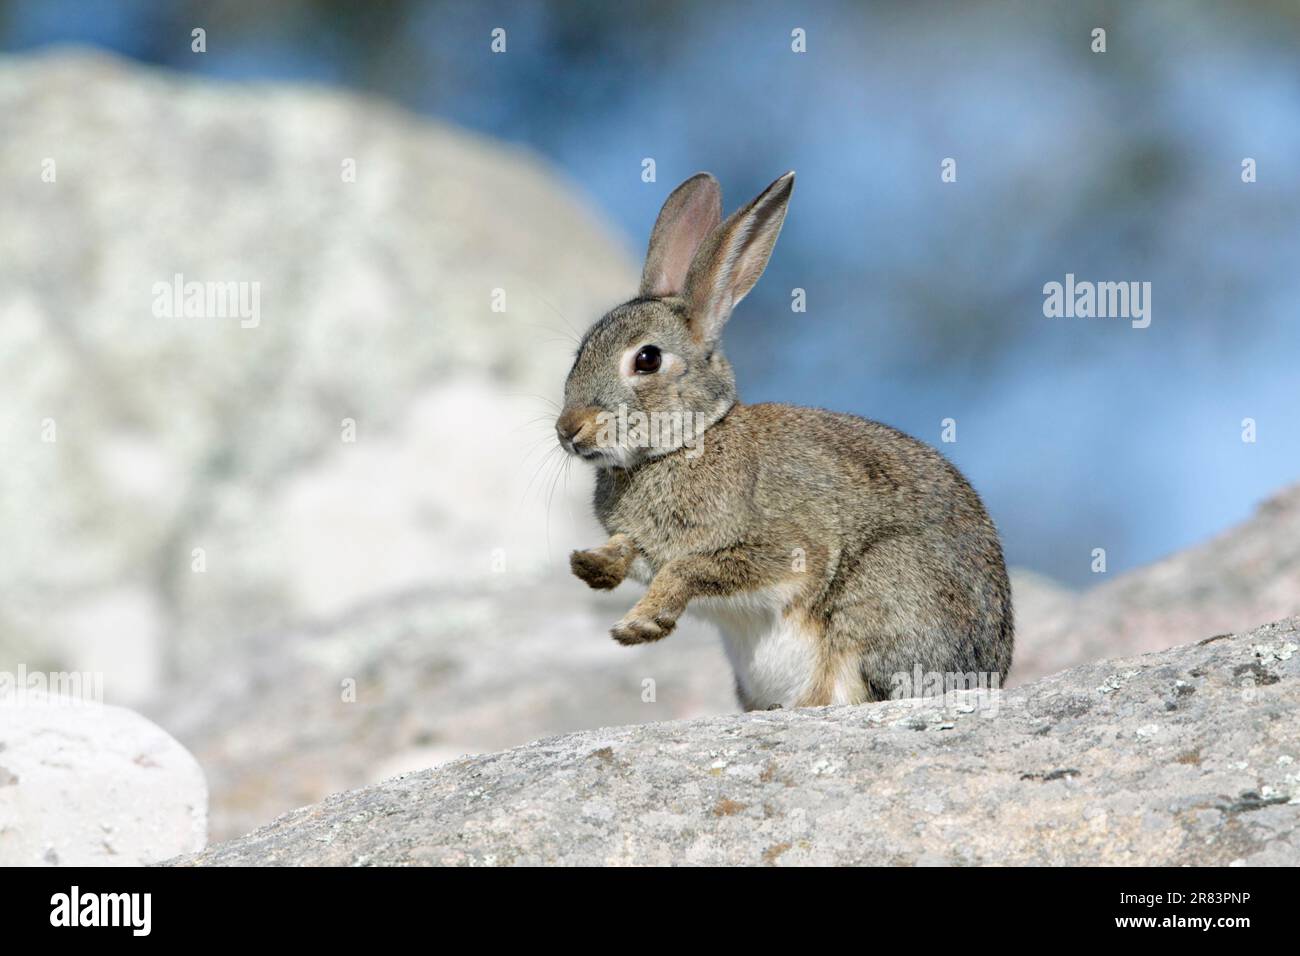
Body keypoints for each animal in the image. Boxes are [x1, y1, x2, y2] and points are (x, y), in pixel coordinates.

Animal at [556, 171, 1013, 711]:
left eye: (646, 359)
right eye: (581, 352)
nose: (568, 429)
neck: (689, 442)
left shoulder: (789, 549)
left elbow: (690, 569)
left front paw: (640, 625)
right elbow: (629, 547)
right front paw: (591, 565)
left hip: (887, 590)